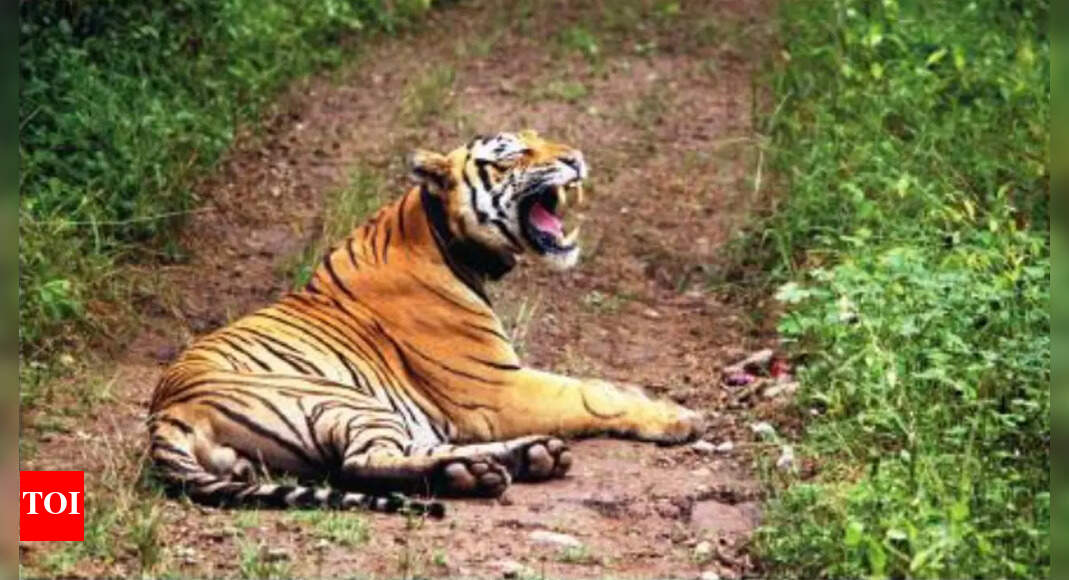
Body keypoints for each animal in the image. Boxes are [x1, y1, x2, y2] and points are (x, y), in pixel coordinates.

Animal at [148, 131, 705, 517]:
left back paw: (522, 458)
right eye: (513, 154)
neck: (440, 233)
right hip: (341, 399)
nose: (575, 159)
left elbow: (599, 383)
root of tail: (162, 417)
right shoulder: (498, 389)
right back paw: (477, 472)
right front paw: (679, 418)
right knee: (360, 463)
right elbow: (589, 395)